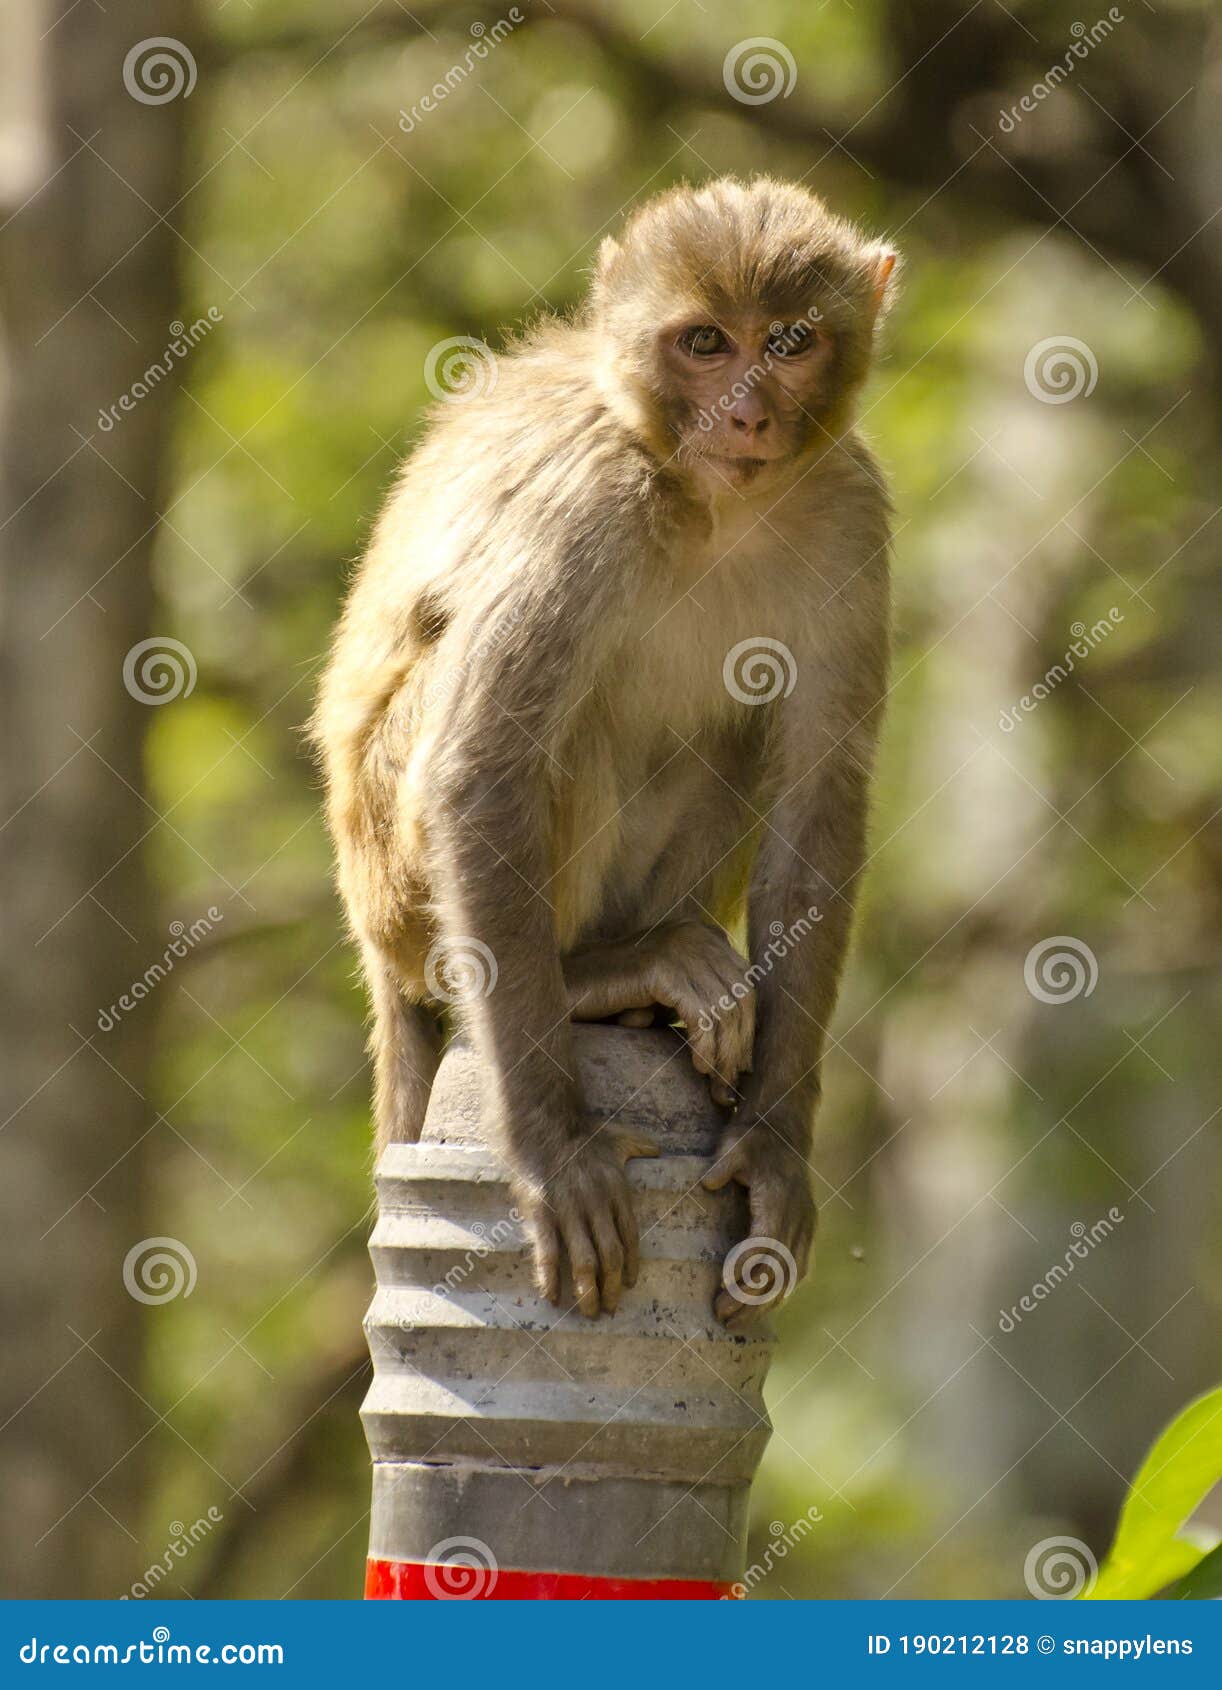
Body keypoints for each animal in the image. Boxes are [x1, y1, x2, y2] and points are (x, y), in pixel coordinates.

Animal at [312, 176, 897, 1327]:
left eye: (791, 340)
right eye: (706, 341)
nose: (747, 412)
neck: (716, 505)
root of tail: (369, 938)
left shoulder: (853, 517)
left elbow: (818, 797)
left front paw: (774, 1143)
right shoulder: (585, 504)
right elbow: (483, 766)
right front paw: (552, 1151)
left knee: (740, 732)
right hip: (395, 875)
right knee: (548, 736)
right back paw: (596, 975)